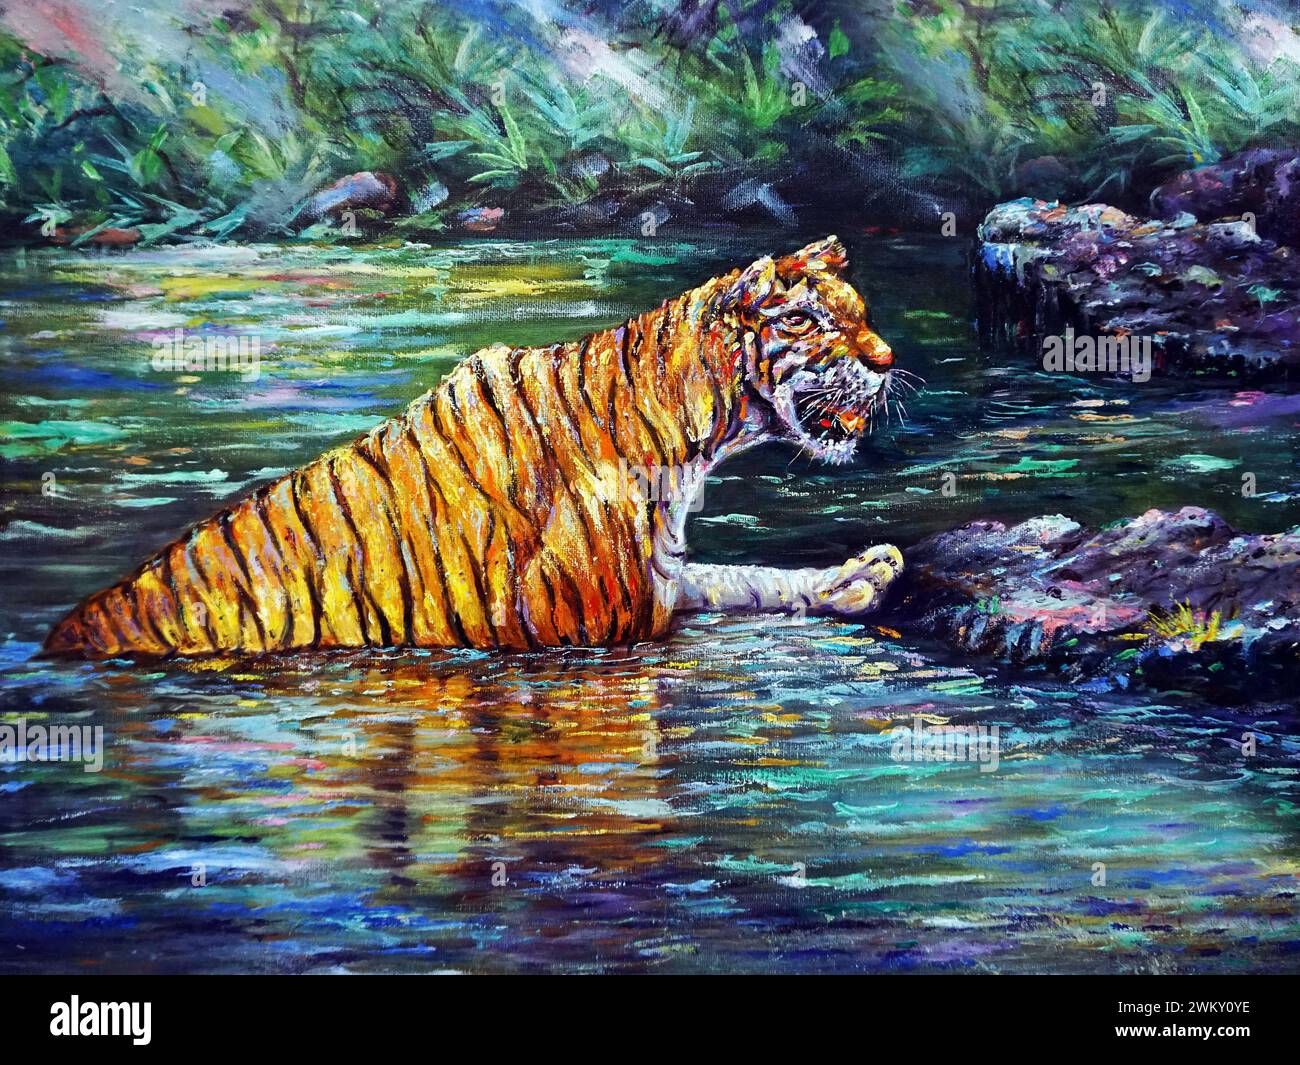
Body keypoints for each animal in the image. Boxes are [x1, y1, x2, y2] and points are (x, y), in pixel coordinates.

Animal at [42, 235, 905, 660]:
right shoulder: (606, 617)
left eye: (860, 311)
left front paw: (856, 576)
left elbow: (742, 579)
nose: (888, 359)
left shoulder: (661, 577)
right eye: (808, 322)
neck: (690, 438)